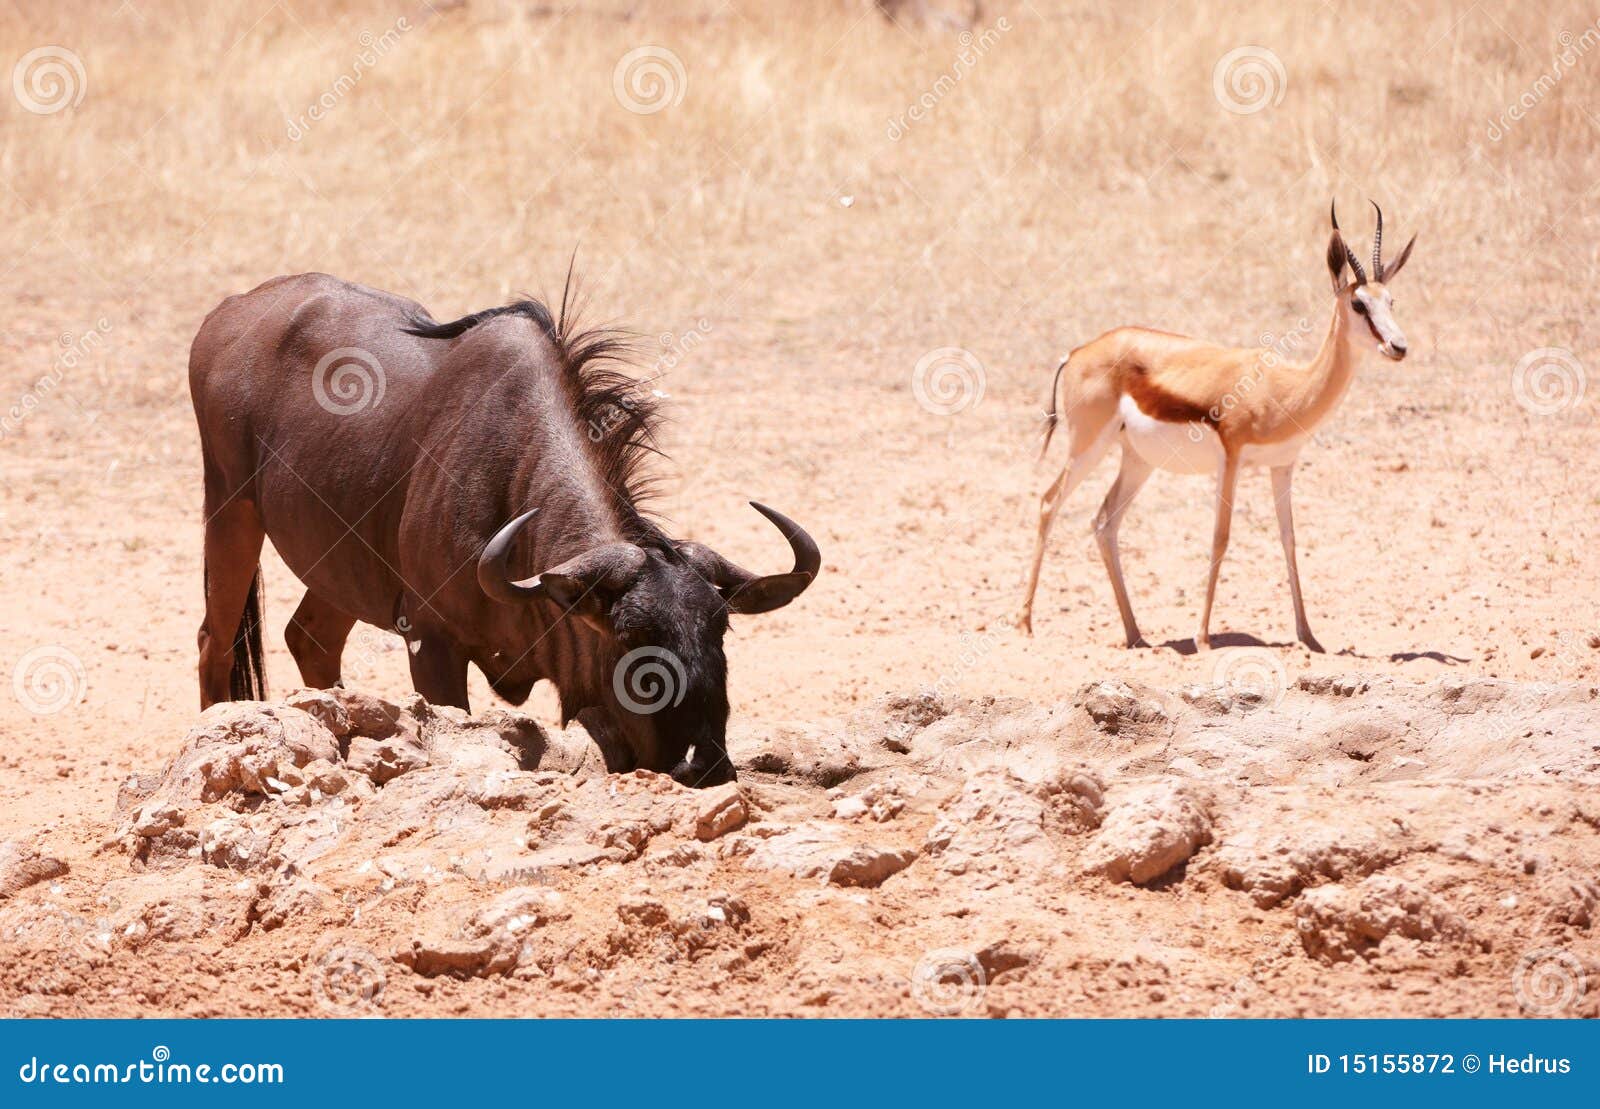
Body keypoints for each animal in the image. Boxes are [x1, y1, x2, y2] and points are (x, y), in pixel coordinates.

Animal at [1016, 202, 1415, 651]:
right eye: (1359, 305)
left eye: (1391, 300)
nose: (1398, 347)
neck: (1282, 388)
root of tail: (1078, 351)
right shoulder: (1232, 460)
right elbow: (1220, 536)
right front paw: (1203, 638)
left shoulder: (1282, 466)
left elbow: (1289, 539)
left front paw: (1309, 637)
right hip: (1088, 446)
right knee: (1050, 502)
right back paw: (1025, 623)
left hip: (1137, 461)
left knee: (1104, 523)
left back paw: (1136, 635)